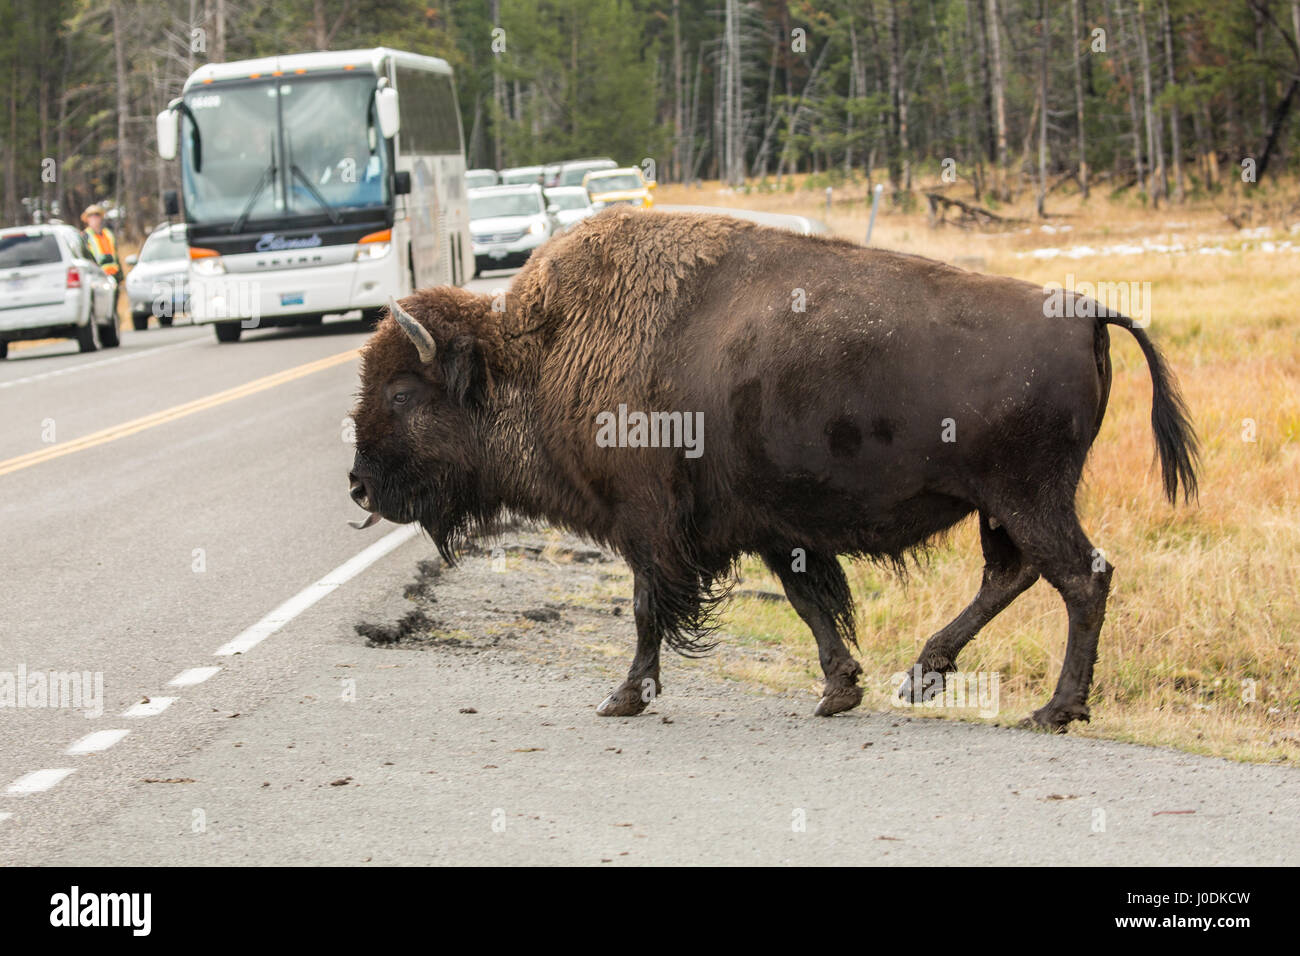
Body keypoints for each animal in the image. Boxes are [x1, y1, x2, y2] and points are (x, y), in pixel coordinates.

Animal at [348, 210, 1197, 730]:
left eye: (402, 392)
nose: (357, 483)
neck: (543, 347)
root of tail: (1086, 310)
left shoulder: (649, 525)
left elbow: (648, 609)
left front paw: (623, 698)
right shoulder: (768, 526)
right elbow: (809, 603)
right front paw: (840, 690)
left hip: (1028, 497)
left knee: (1080, 577)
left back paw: (1054, 710)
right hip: (1004, 503)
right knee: (1014, 573)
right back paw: (923, 675)